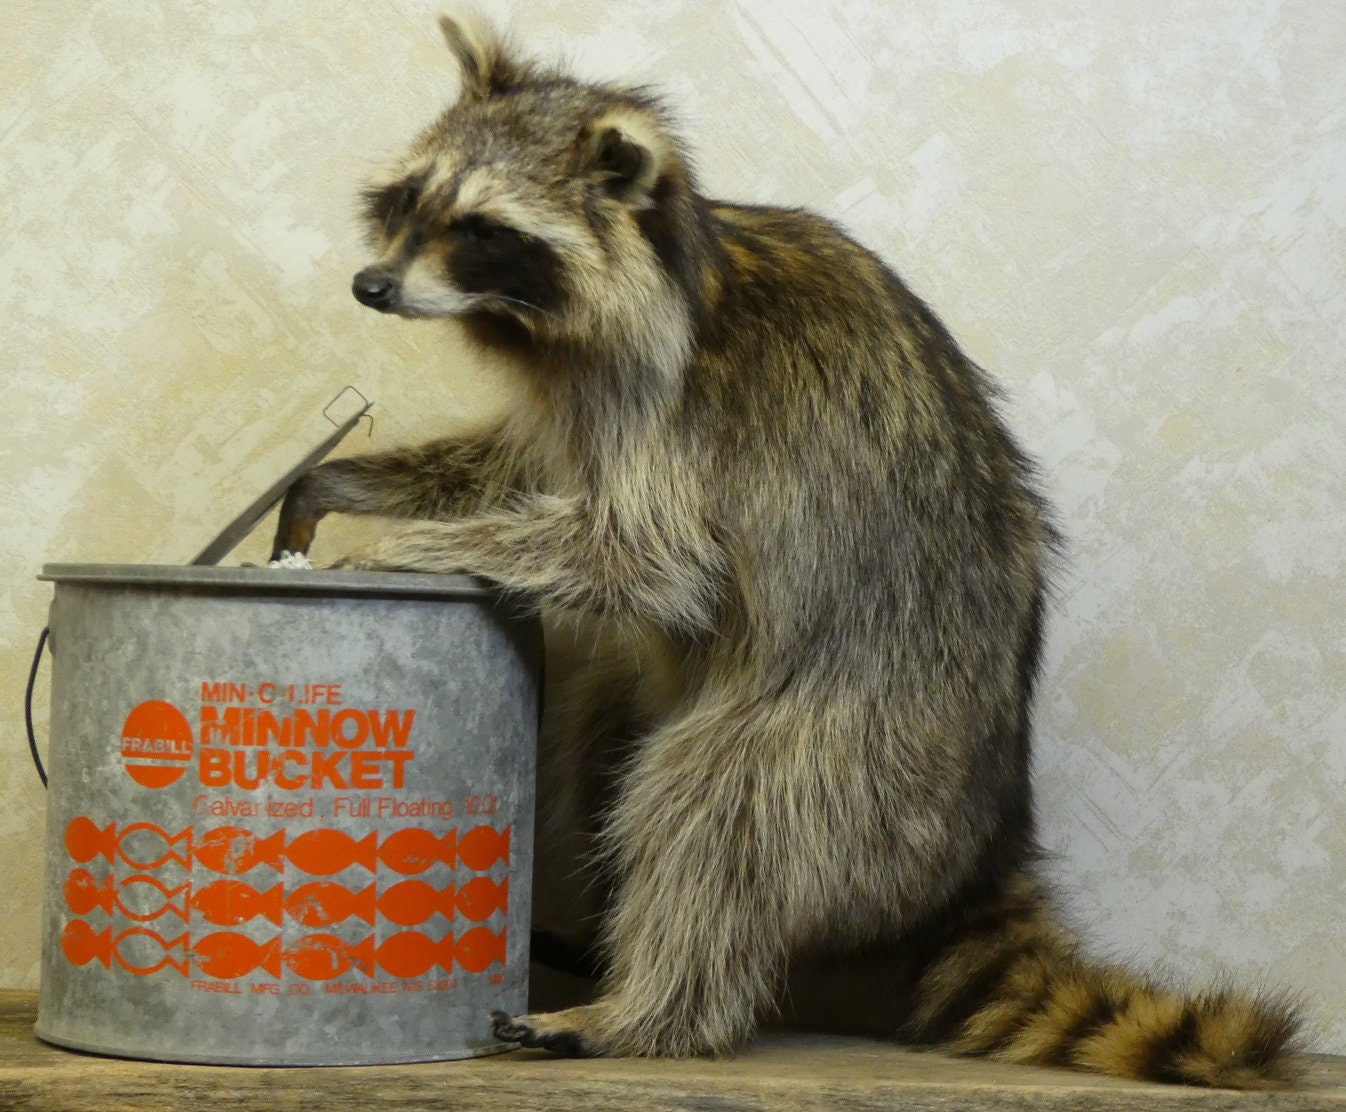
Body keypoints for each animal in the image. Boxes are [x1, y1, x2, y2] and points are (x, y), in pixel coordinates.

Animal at [273, 14, 1302, 1088]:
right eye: (409, 199)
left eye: (480, 227)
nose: (372, 285)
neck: (658, 273)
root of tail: (989, 838)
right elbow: (518, 468)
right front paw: (343, 485)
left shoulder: (677, 404)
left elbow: (648, 559)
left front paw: (406, 546)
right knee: (601, 742)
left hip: (860, 749)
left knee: (716, 810)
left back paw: (649, 1007)